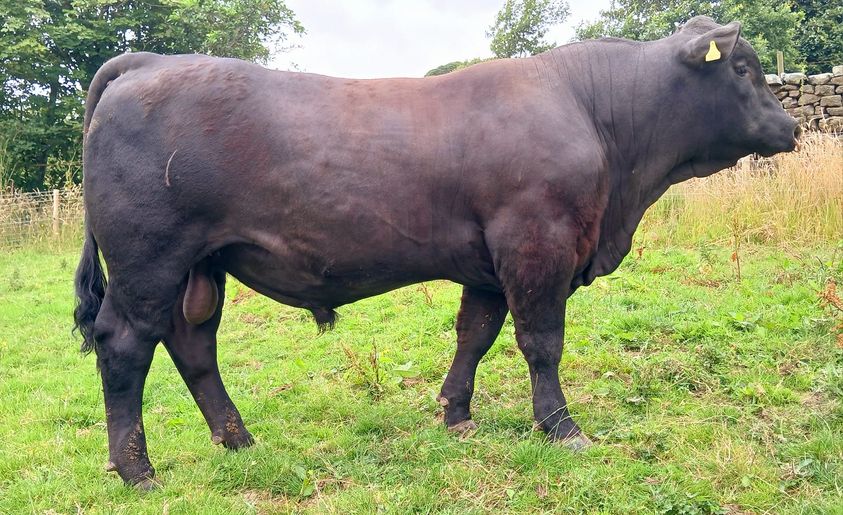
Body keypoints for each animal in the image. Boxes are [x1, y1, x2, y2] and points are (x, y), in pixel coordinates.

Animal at [74, 16, 799, 488]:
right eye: (742, 69)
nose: (791, 126)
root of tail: (147, 61)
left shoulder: (490, 263)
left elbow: (474, 334)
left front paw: (456, 414)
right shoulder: (537, 243)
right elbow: (541, 341)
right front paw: (561, 426)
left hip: (198, 266)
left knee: (193, 345)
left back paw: (238, 440)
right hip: (148, 259)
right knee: (125, 346)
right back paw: (138, 469)